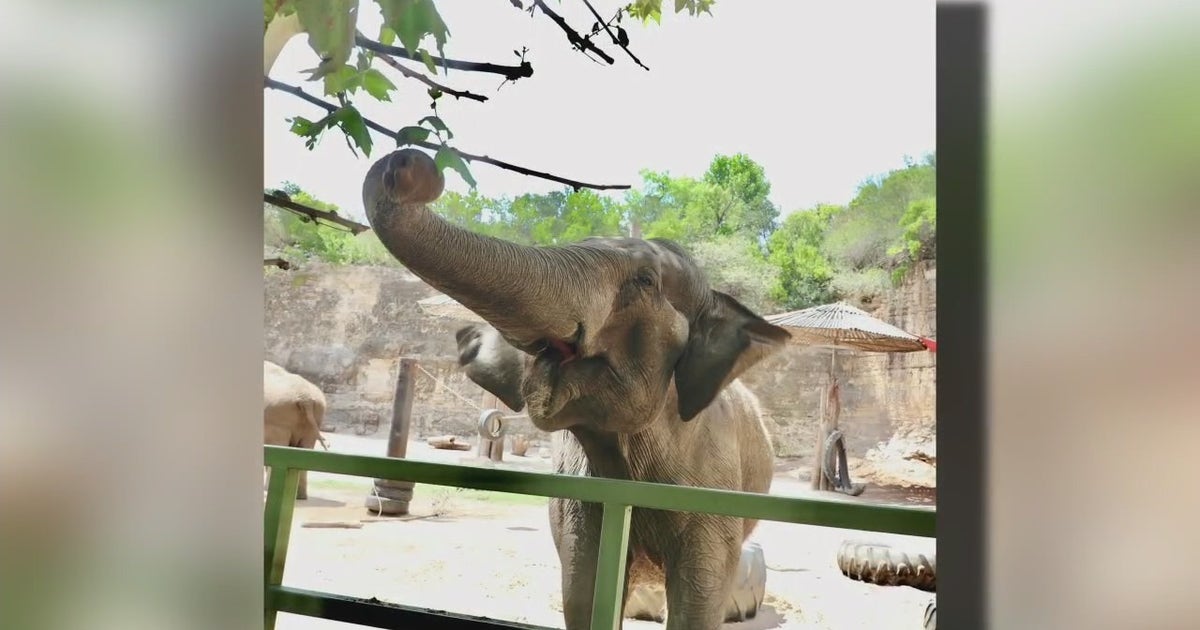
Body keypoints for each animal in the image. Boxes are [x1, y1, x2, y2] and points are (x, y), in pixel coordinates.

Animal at [263, 360, 328, 500]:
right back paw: (300, 497)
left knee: (279, 447)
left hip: (280, 418)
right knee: (306, 449)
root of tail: (306, 398)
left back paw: (268, 492)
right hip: (315, 418)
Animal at [362, 148, 792, 630]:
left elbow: (698, 605)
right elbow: (583, 591)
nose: (410, 163)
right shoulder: (578, 498)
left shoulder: (712, 488)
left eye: (646, 280)